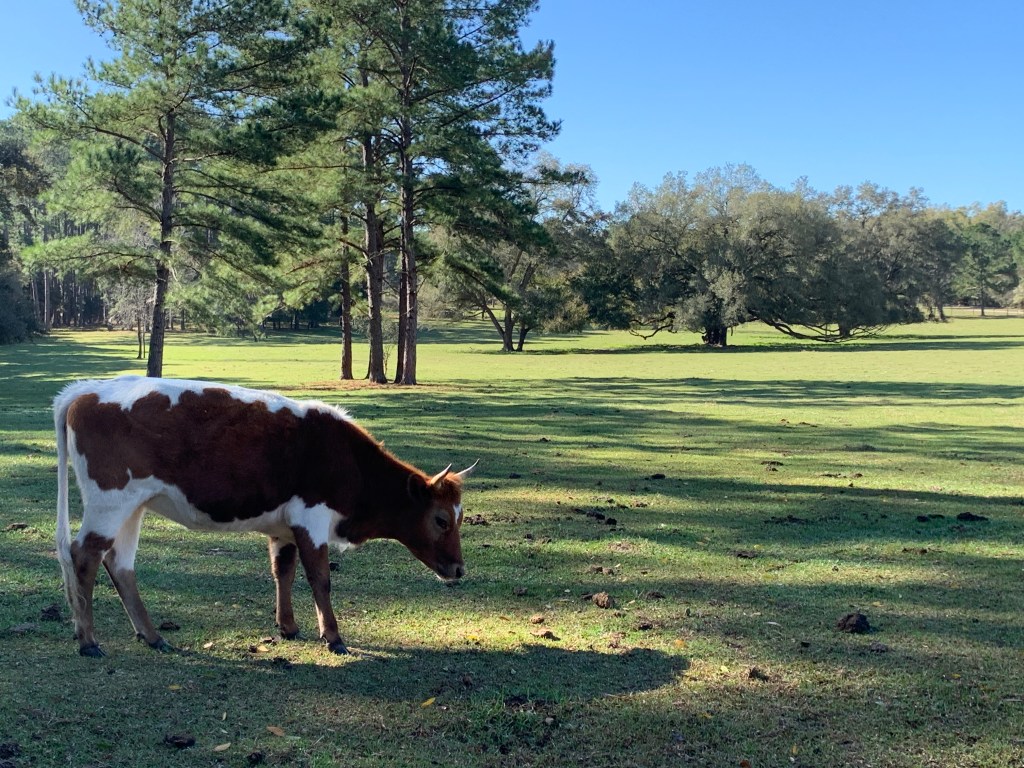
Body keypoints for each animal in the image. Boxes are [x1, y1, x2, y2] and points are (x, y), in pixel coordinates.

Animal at [54, 375, 473, 658]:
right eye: (440, 520)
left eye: (459, 518)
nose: (458, 569)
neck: (348, 461)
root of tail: (85, 391)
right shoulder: (312, 519)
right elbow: (320, 578)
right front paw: (333, 637)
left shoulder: (284, 528)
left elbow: (282, 570)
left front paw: (287, 626)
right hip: (110, 503)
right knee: (85, 556)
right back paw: (88, 640)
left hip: (133, 508)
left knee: (120, 564)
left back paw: (152, 636)